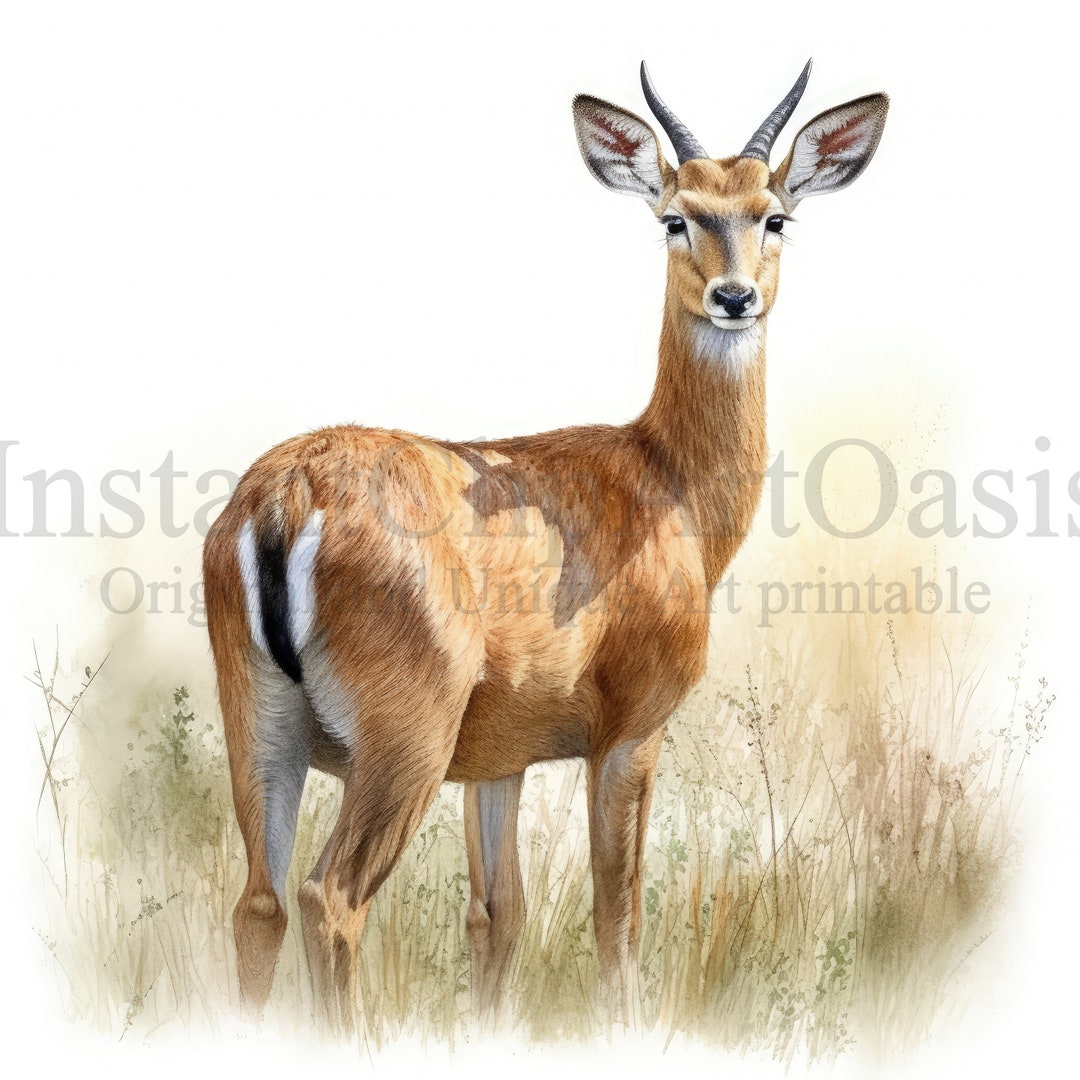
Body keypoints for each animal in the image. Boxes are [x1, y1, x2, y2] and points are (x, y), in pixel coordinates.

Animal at [203, 61, 888, 1028]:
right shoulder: (633, 732)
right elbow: (618, 917)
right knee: (328, 898)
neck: (669, 486)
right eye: (676, 214)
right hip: (400, 743)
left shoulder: (500, 761)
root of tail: (284, 498)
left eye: (774, 213)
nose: (734, 296)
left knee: (257, 904)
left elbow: (499, 916)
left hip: (260, 723)